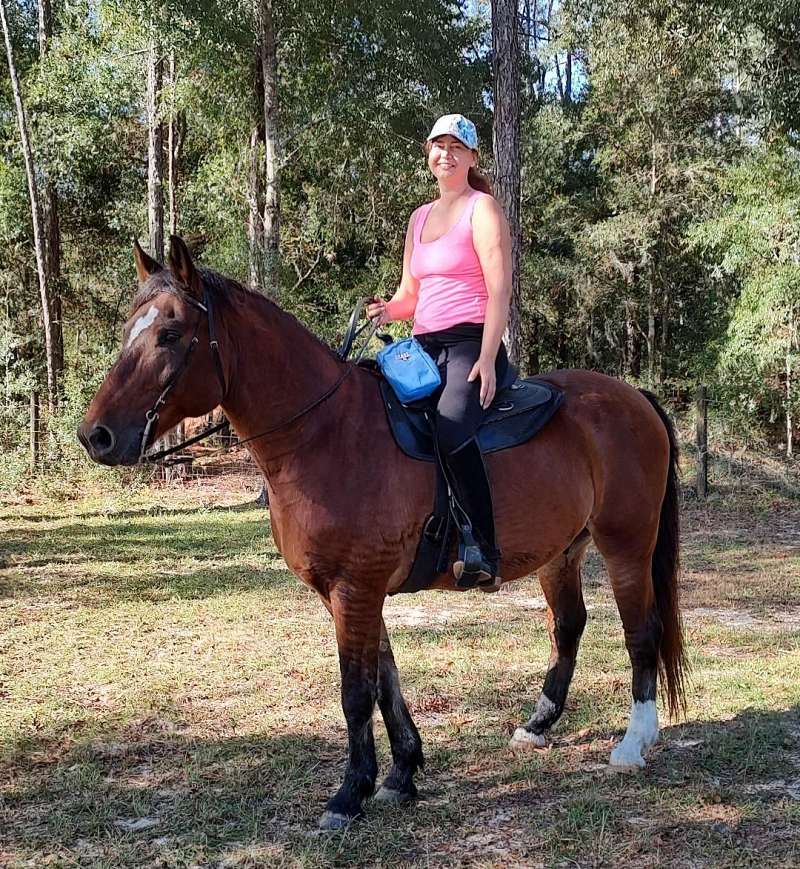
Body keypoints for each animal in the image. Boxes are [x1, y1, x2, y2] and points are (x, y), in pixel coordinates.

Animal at [78, 237, 686, 830]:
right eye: (129, 328)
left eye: (170, 333)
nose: (96, 436)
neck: (324, 433)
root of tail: (634, 397)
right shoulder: (347, 591)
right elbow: (385, 680)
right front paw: (400, 774)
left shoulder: (357, 585)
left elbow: (356, 691)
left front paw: (349, 794)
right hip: (562, 552)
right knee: (569, 626)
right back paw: (539, 723)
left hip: (626, 544)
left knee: (642, 631)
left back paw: (634, 742)